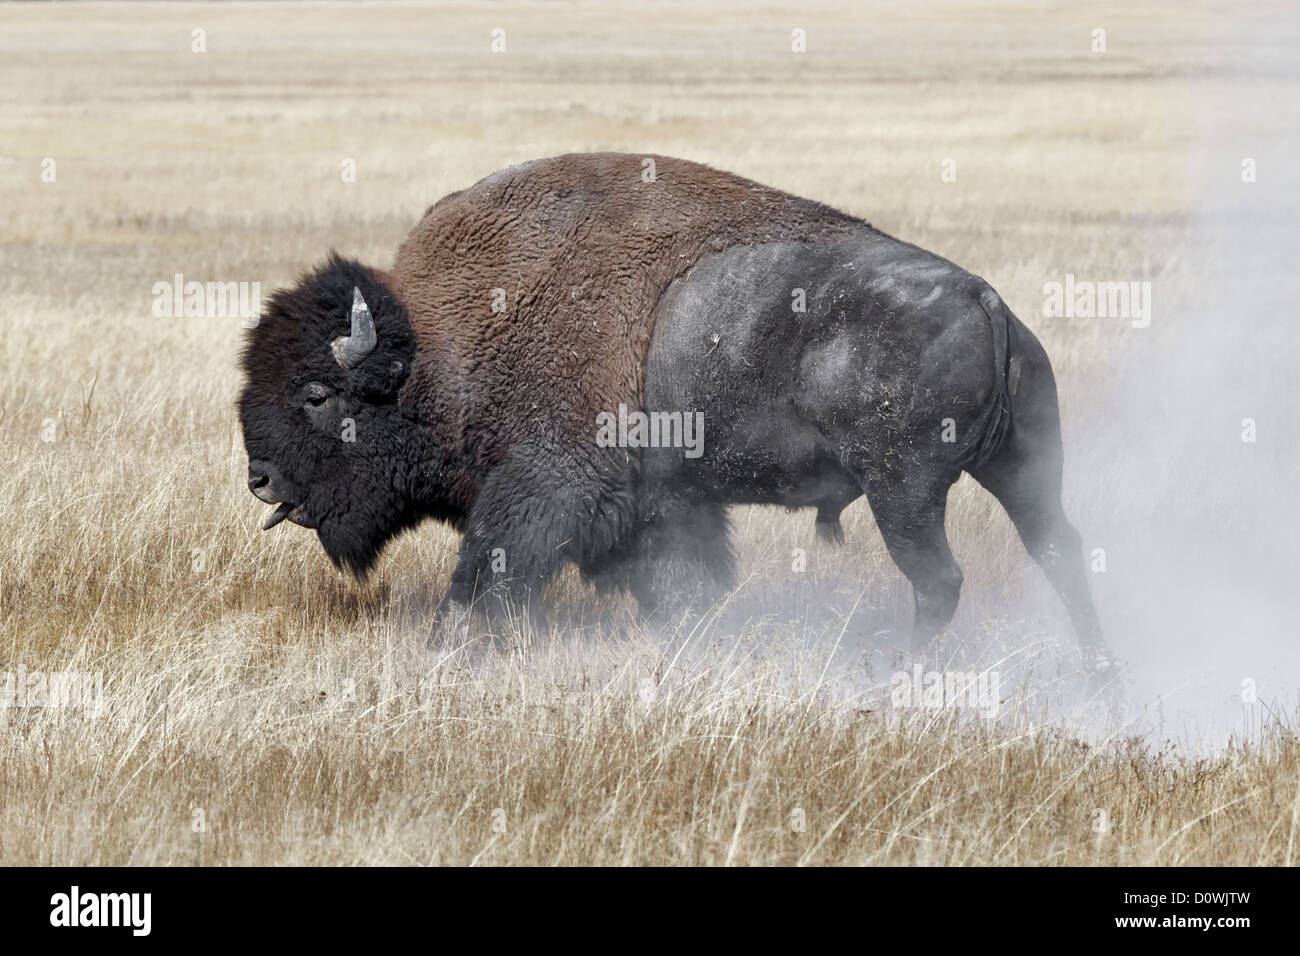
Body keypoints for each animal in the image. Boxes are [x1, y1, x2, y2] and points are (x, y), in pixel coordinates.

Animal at [239, 153, 1113, 677]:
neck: (438, 345)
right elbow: (679, 576)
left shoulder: (544, 487)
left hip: (905, 491)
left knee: (940, 578)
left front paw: (450, 644)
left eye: (316, 395)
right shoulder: (662, 504)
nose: (260, 478)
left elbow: (488, 566)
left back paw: (894, 666)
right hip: (1023, 472)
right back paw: (1101, 672)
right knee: (1060, 551)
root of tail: (986, 299)